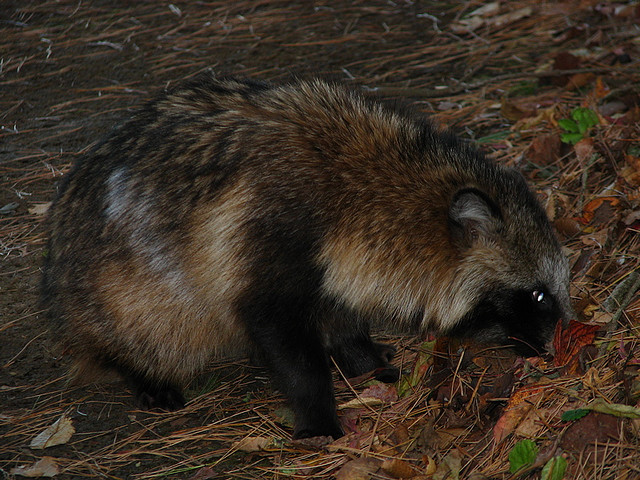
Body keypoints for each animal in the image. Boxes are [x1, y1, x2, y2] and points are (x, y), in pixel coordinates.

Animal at [42, 72, 573, 439]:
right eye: (538, 294)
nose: (557, 351)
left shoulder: (337, 257)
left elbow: (341, 310)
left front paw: (364, 359)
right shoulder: (271, 231)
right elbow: (284, 338)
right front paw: (319, 413)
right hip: (118, 284)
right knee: (143, 328)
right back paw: (137, 368)